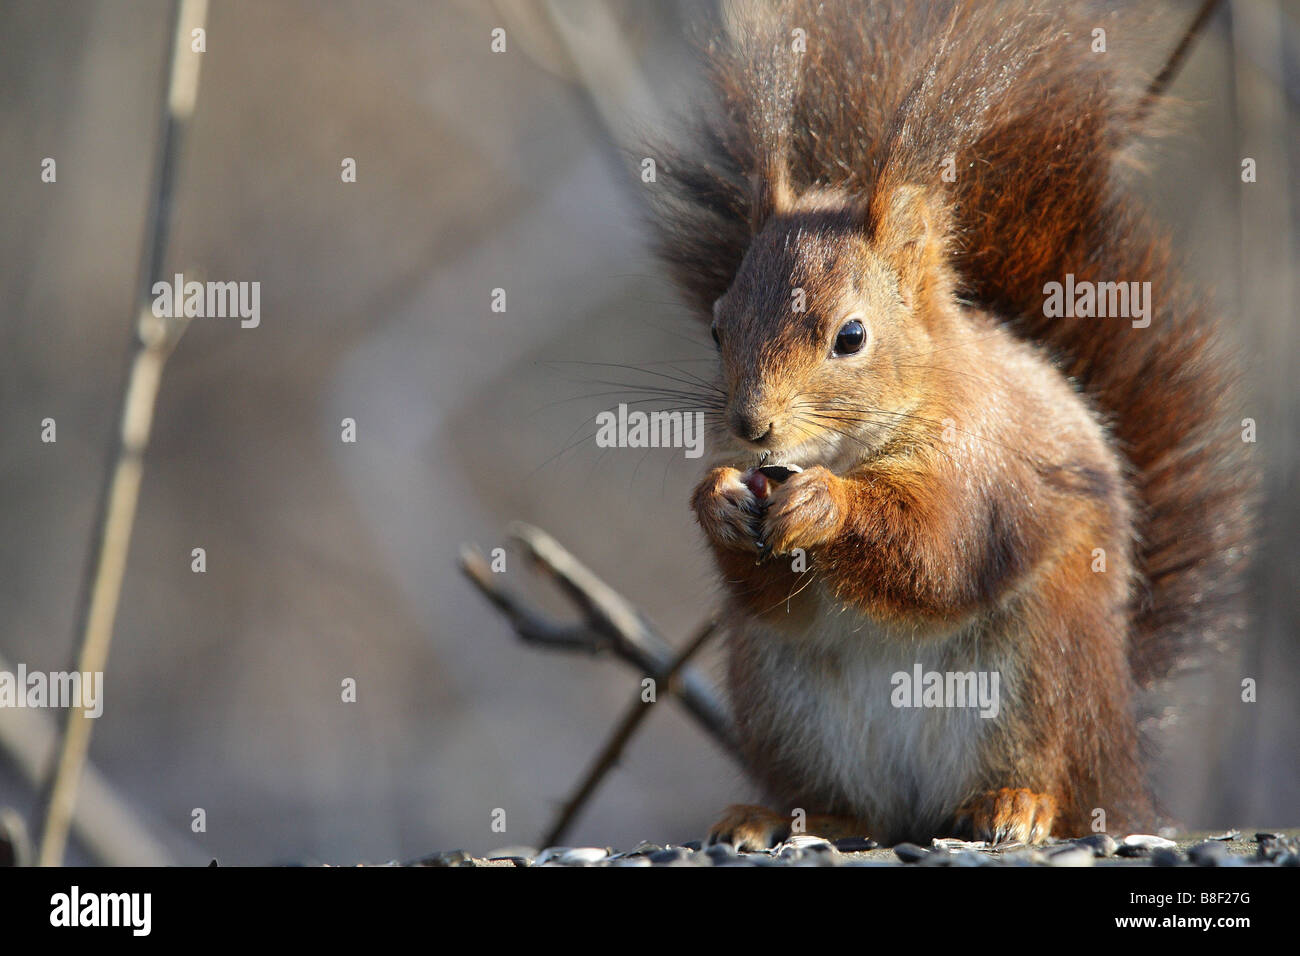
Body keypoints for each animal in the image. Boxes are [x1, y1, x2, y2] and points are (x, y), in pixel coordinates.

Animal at [646, 0, 1255, 848]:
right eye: (716, 326)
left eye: (851, 336)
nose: (752, 426)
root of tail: (1123, 760)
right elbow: (772, 593)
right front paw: (719, 500)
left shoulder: (985, 468)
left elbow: (940, 551)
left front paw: (828, 505)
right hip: (780, 701)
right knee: (855, 810)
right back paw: (777, 816)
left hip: (1047, 671)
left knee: (1054, 781)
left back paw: (1016, 806)